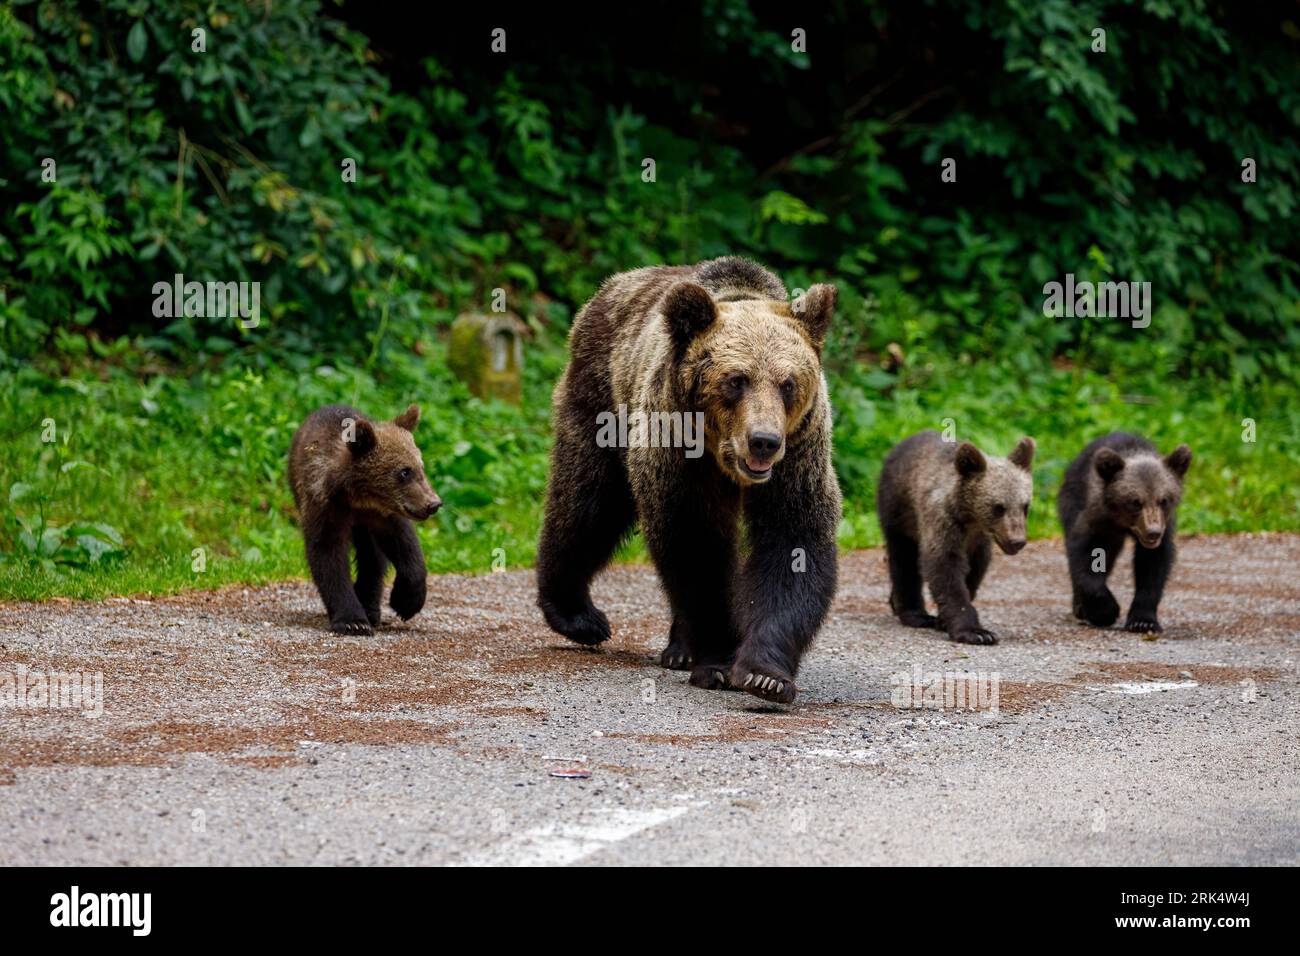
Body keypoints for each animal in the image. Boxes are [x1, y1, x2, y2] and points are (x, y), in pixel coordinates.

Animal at [288, 403, 441, 635]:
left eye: (420, 467)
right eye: (404, 472)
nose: (433, 503)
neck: (358, 498)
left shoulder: (385, 514)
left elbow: (405, 545)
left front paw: (406, 602)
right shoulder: (325, 506)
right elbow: (328, 555)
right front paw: (352, 621)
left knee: (372, 557)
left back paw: (370, 608)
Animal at [535, 256, 842, 704]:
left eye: (788, 384)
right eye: (736, 380)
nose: (764, 441)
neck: (723, 457)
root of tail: (611, 287)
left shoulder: (798, 457)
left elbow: (793, 545)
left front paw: (766, 675)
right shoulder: (679, 453)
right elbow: (696, 547)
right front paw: (717, 662)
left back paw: (678, 647)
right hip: (600, 400)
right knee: (586, 501)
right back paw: (579, 615)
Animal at [877, 431, 1036, 645]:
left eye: (1025, 506)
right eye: (998, 507)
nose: (1017, 541)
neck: (970, 519)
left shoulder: (979, 541)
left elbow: (974, 571)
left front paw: (945, 620)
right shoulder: (943, 522)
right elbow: (946, 569)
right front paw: (976, 632)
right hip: (899, 509)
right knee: (904, 558)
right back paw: (915, 614)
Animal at [1058, 432, 1192, 634]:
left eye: (1164, 500)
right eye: (1135, 502)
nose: (1153, 533)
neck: (1121, 521)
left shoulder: (1164, 528)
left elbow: (1152, 566)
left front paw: (1143, 621)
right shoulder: (1096, 518)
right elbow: (1086, 555)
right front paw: (1106, 611)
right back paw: (1080, 607)